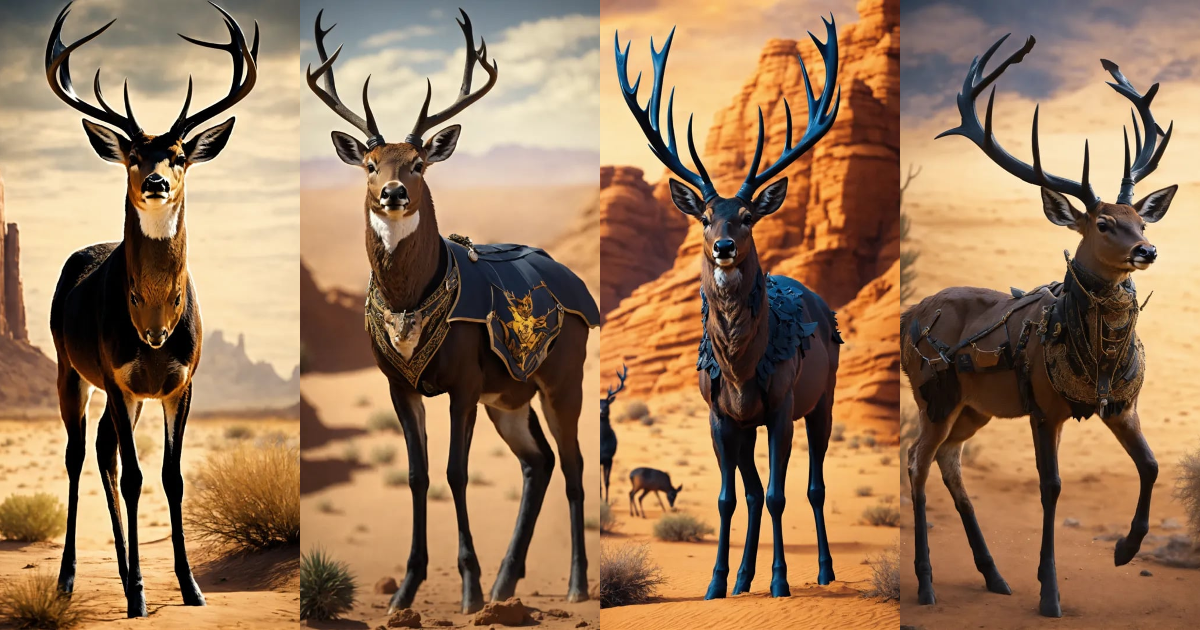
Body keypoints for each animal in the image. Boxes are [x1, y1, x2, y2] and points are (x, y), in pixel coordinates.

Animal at [44, 2, 257, 618]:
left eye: (181, 153)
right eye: (135, 155)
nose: (158, 181)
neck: (155, 321)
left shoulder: (177, 384)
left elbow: (171, 477)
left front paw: (190, 587)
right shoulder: (117, 378)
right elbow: (139, 476)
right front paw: (140, 594)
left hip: (132, 397)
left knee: (104, 453)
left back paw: (122, 572)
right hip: (71, 372)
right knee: (80, 455)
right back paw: (73, 580)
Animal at [305, 9, 599, 614]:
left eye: (419, 163)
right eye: (369, 163)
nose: (393, 192)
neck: (411, 300)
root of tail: (572, 280)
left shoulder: (463, 384)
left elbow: (455, 473)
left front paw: (467, 587)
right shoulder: (401, 385)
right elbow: (418, 476)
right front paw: (406, 591)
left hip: (562, 381)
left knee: (574, 466)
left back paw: (575, 584)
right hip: (509, 397)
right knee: (538, 462)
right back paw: (506, 584)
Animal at [615, 15, 844, 600]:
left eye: (746, 217)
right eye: (704, 218)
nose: (722, 247)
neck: (742, 365)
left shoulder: (782, 407)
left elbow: (782, 494)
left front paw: (782, 581)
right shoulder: (721, 416)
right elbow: (728, 499)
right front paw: (717, 582)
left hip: (822, 400)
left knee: (813, 486)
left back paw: (824, 570)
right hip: (748, 426)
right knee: (754, 490)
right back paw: (743, 578)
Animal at [901, 34, 1177, 618]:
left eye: (1140, 219)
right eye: (1103, 223)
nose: (1147, 250)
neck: (1096, 359)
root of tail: (909, 313)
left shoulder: (1122, 406)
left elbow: (1151, 466)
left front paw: (1125, 549)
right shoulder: (1043, 410)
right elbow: (1050, 487)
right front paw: (1050, 592)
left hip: (974, 410)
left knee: (949, 461)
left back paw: (993, 575)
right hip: (935, 396)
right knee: (917, 461)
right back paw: (927, 583)